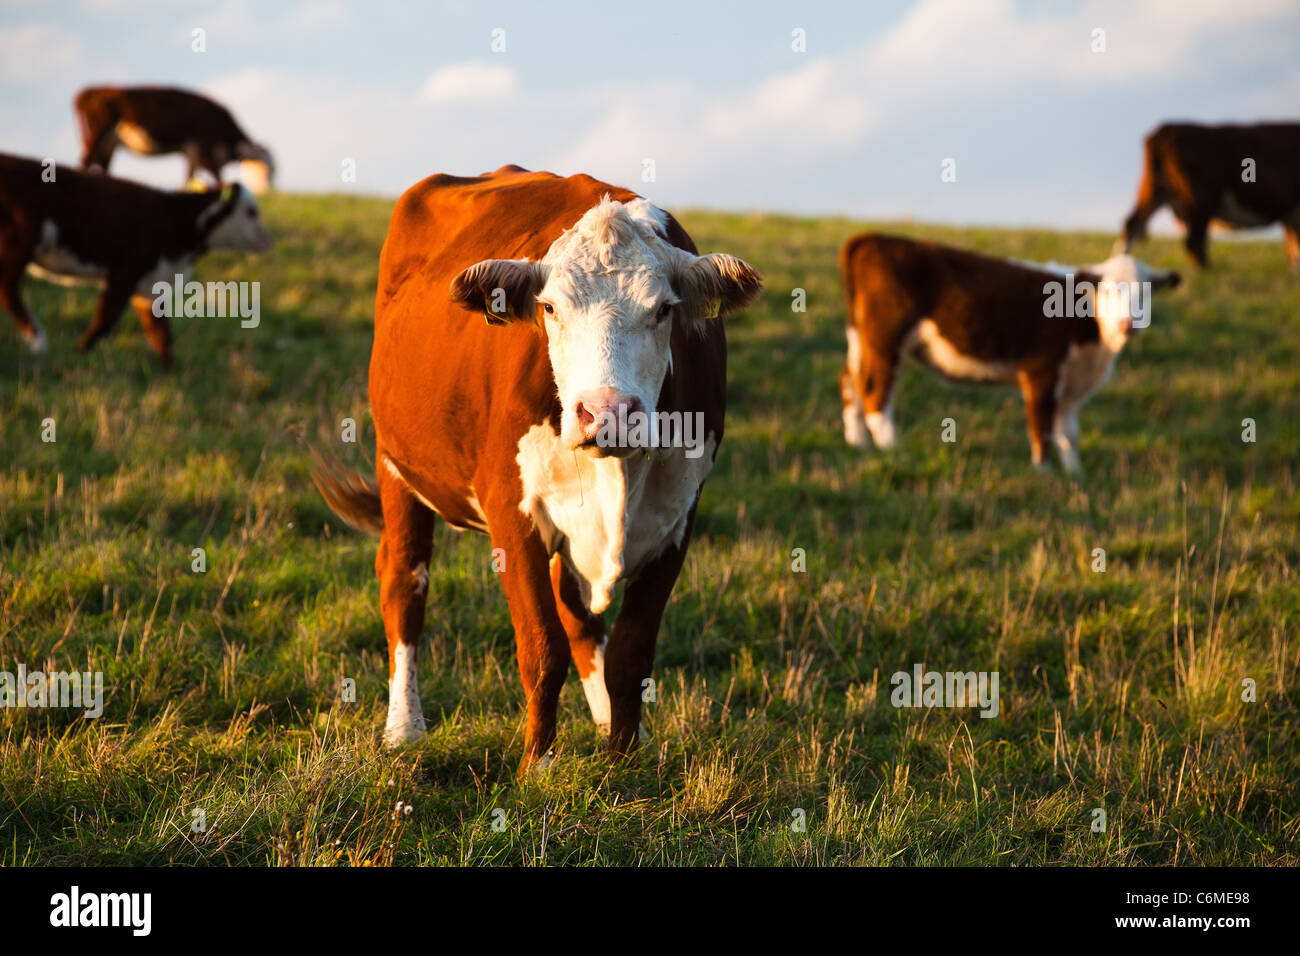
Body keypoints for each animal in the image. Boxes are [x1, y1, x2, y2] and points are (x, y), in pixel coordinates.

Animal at [0, 153, 272, 367]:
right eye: (251, 212)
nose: (267, 240)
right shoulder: (127, 269)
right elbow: (106, 317)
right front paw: (79, 352)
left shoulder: (151, 285)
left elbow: (161, 333)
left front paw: (170, 373)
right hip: (19, 241)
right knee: (8, 290)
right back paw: (39, 340)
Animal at [75, 86, 275, 194]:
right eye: (265, 168)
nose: (268, 190)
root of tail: (87, 92)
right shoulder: (204, 147)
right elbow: (217, 176)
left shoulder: (191, 151)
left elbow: (190, 176)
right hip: (97, 135)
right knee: (86, 161)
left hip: (109, 142)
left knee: (102, 167)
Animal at [312, 165, 761, 770]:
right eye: (550, 308)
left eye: (664, 308)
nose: (607, 413)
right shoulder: (512, 511)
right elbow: (541, 647)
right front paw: (539, 766)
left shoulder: (678, 517)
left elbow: (629, 652)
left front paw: (623, 757)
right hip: (397, 467)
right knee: (405, 583)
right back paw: (404, 728)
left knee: (580, 619)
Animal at [838, 234, 1180, 473]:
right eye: (1107, 290)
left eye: (1147, 291)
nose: (1129, 323)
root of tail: (872, 238)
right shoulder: (1042, 371)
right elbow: (1041, 426)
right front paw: (1043, 472)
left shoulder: (1071, 384)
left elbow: (1068, 432)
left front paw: (1075, 475)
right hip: (886, 339)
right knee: (875, 391)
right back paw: (891, 448)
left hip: (860, 339)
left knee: (850, 383)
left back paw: (858, 443)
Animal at [1118, 122, 1300, 269]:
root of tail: (1164, 130)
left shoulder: (1290, 217)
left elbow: (1293, 248)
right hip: (1198, 201)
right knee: (1194, 242)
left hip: (1155, 189)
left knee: (1132, 224)